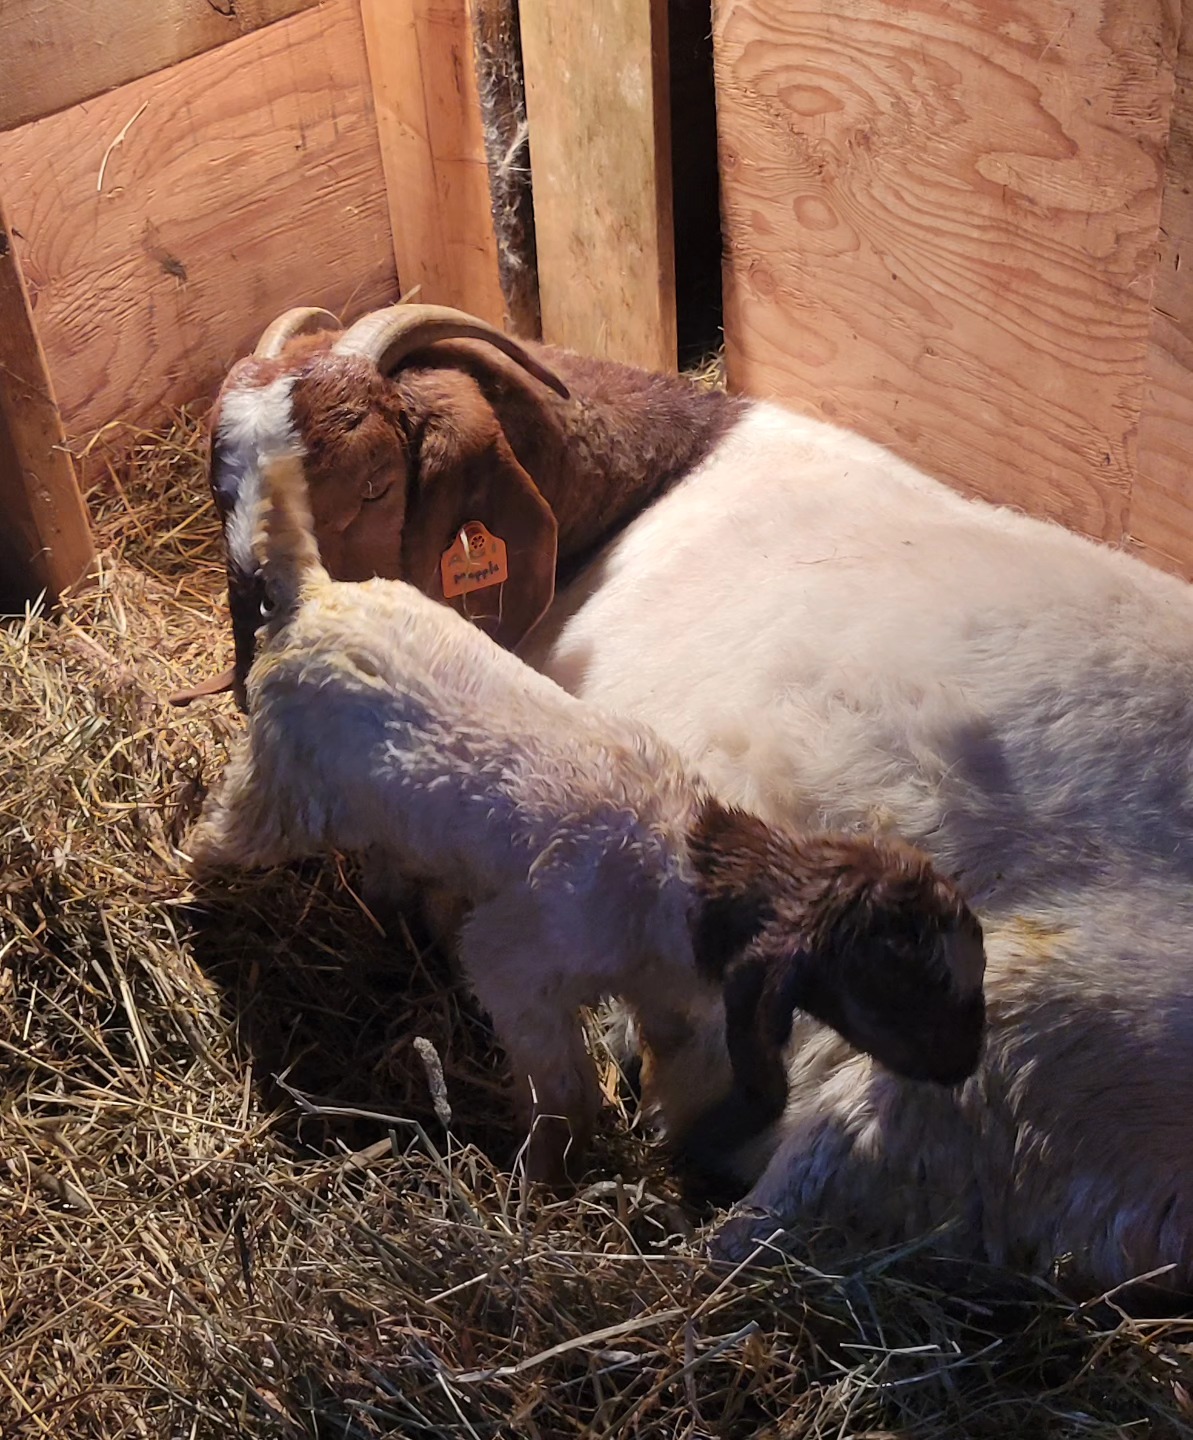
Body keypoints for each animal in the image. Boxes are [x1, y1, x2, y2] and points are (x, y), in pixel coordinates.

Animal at [187, 453, 986, 1186]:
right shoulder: (519, 963)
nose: (966, 1063)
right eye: (896, 987)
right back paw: (185, 889)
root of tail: (315, 596)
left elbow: (666, 1050)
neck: (689, 864)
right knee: (214, 833)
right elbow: (566, 1090)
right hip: (279, 791)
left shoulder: (666, 989)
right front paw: (547, 1175)